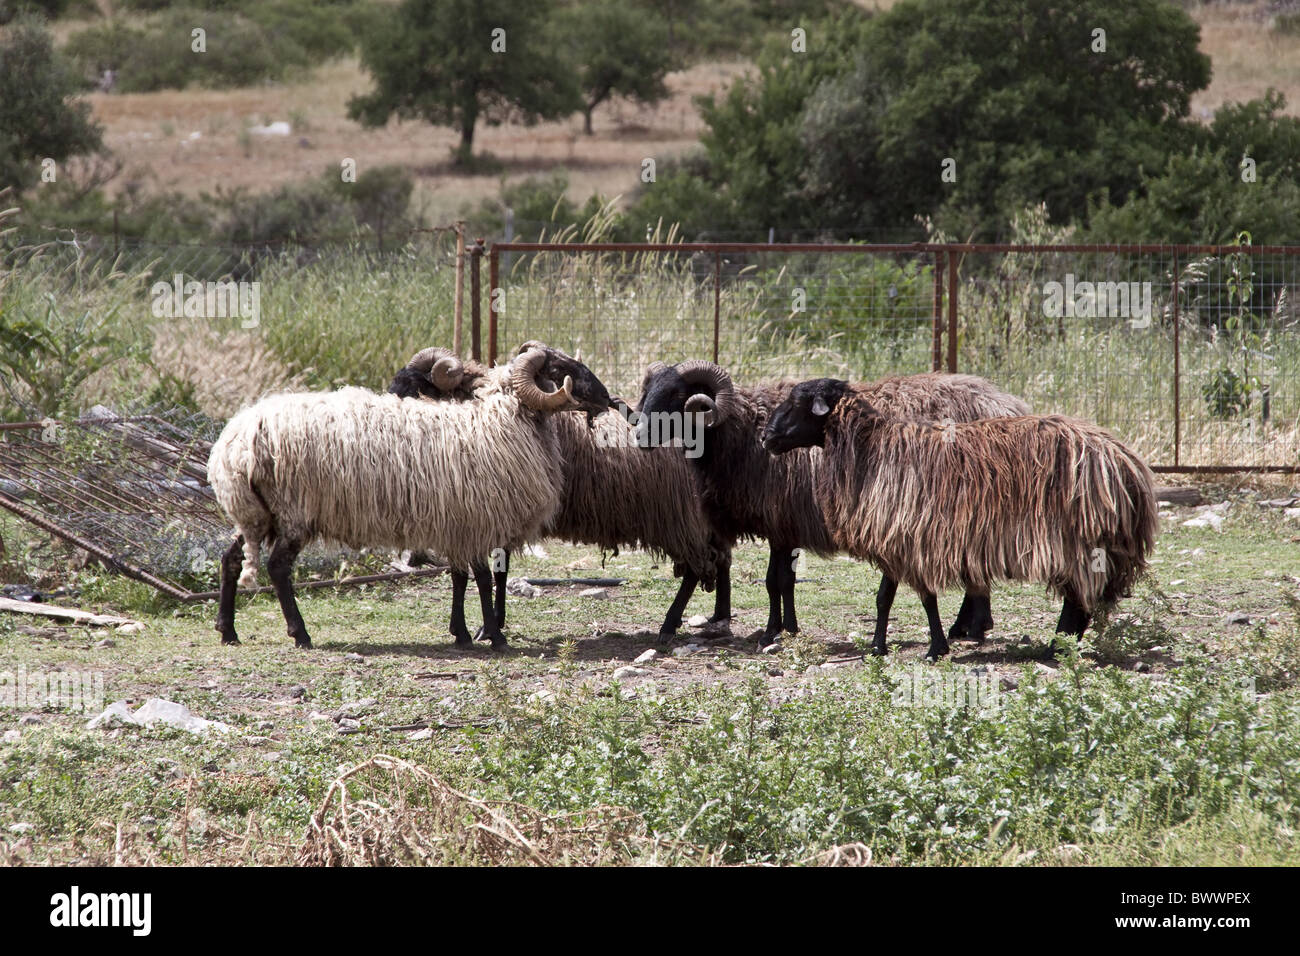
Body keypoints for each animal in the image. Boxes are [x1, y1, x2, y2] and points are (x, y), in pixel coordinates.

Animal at [207, 344, 610, 651]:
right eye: (559, 368)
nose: (607, 399)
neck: (499, 423)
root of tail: (237, 443)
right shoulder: (476, 518)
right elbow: (481, 578)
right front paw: (495, 637)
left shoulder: (458, 522)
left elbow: (460, 576)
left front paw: (462, 633)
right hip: (293, 511)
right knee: (278, 567)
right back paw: (300, 634)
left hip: (256, 513)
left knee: (231, 558)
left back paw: (228, 631)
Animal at [388, 345, 725, 640]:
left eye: (416, 385)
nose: (608, 397)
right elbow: (490, 571)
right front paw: (488, 624)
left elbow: (484, 572)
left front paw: (482, 628)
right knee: (720, 558)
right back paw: (718, 617)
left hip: (682, 519)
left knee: (697, 568)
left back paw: (670, 625)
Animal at [633, 361, 1029, 646]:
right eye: (648, 391)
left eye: (677, 394)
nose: (638, 435)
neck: (741, 433)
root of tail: (1010, 403)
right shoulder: (786, 524)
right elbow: (785, 581)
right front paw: (789, 627)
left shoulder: (780, 521)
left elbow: (773, 581)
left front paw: (771, 632)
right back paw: (967, 627)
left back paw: (971, 627)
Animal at [761, 378, 1158, 659]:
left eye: (797, 403)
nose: (766, 437)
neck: (871, 449)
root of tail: (1127, 465)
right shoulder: (895, 535)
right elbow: (884, 597)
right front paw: (877, 647)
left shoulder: (914, 536)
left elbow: (926, 598)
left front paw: (935, 649)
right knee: (1082, 600)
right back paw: (1063, 647)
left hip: (1080, 540)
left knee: (1077, 600)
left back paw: (1056, 648)